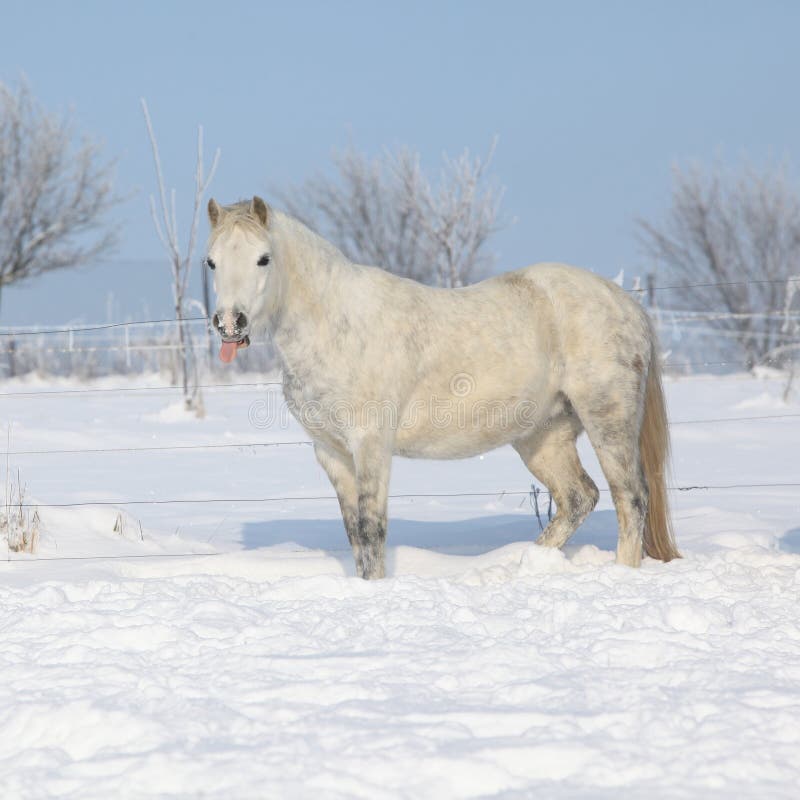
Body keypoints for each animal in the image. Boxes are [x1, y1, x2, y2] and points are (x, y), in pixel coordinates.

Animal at [205, 195, 680, 579]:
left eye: (264, 258)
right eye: (211, 261)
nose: (230, 324)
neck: (337, 324)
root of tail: (626, 303)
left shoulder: (371, 444)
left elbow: (372, 529)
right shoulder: (332, 451)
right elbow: (354, 533)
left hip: (608, 420)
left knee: (631, 499)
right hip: (543, 436)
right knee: (579, 498)